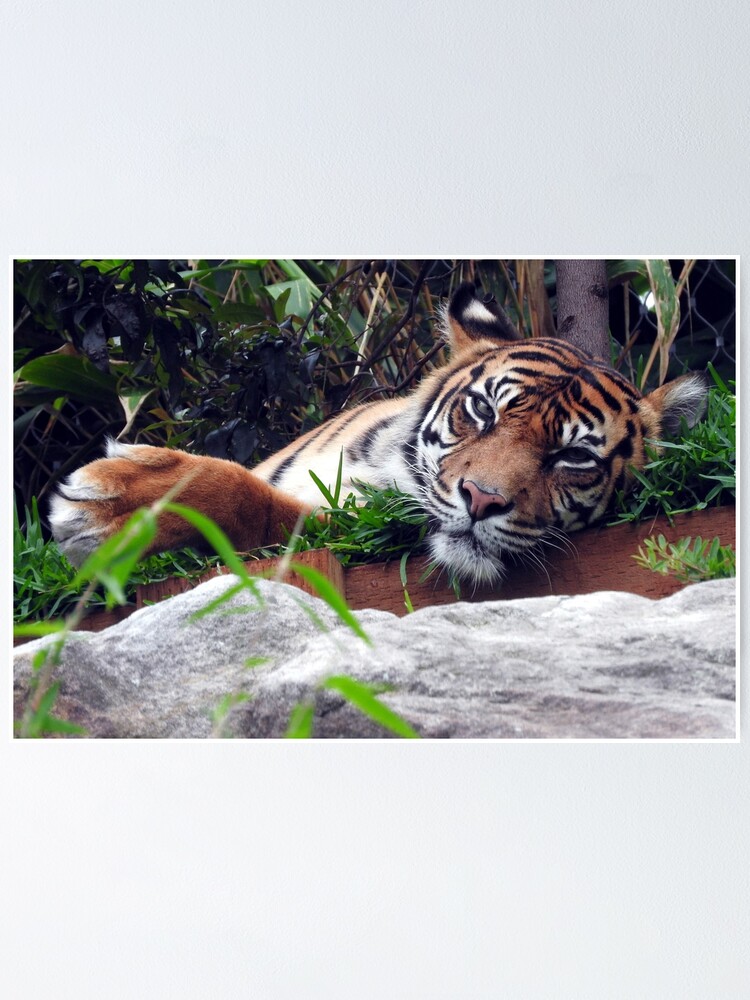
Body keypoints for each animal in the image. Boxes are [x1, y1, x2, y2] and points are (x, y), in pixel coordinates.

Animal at [49, 282, 709, 586]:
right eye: (483, 411)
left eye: (573, 456)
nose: (482, 501)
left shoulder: (348, 528)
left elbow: (257, 505)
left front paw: (112, 504)